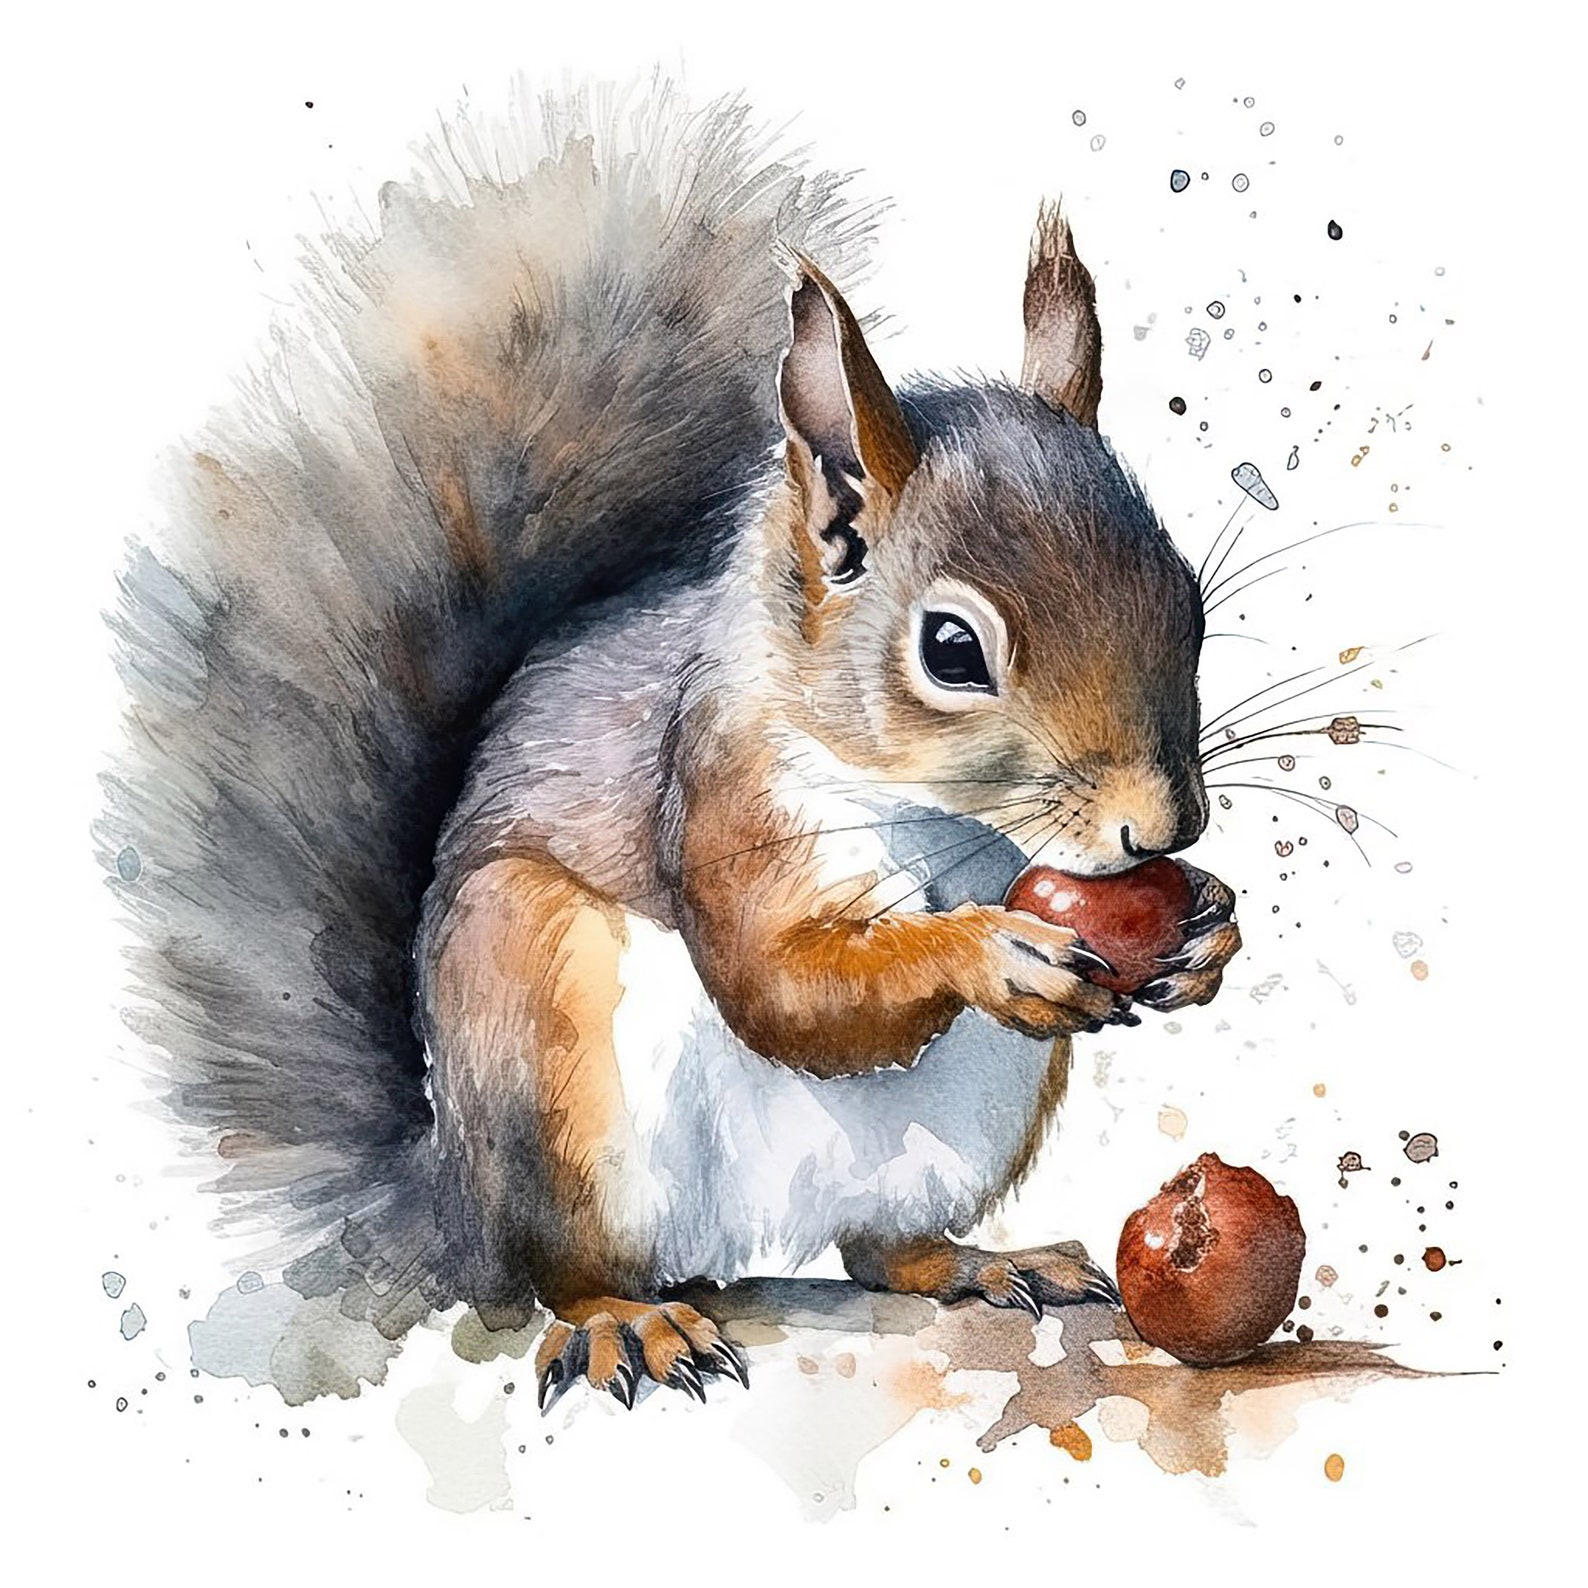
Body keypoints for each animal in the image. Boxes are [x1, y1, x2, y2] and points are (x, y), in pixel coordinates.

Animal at [100, 86, 1241, 1410]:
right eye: (953, 649)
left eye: (1186, 598)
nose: (1164, 827)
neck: (957, 834)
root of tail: (453, 1196)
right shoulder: (717, 795)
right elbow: (780, 986)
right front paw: (982, 954)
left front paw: (1209, 927)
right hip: (544, 1022)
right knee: (563, 1264)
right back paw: (625, 1319)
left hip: (962, 1130)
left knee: (880, 1247)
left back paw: (981, 1263)